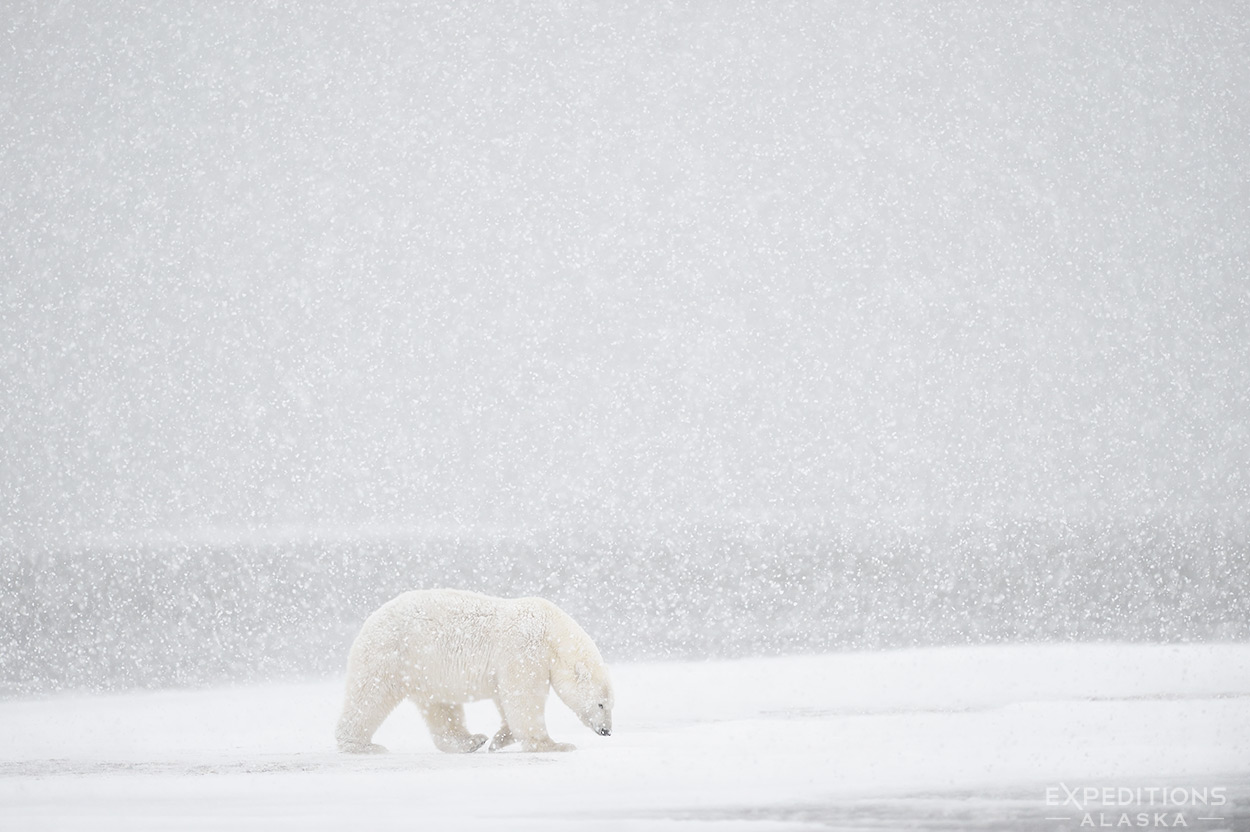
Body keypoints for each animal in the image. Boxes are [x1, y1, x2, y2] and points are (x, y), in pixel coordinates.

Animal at [335, 589, 613, 754]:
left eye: (611, 704)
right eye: (600, 704)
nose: (607, 731)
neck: (551, 632)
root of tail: (369, 622)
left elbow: (506, 698)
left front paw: (500, 739)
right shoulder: (525, 650)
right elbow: (523, 698)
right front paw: (555, 745)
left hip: (424, 670)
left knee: (440, 707)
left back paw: (471, 740)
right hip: (391, 655)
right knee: (370, 695)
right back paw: (362, 745)